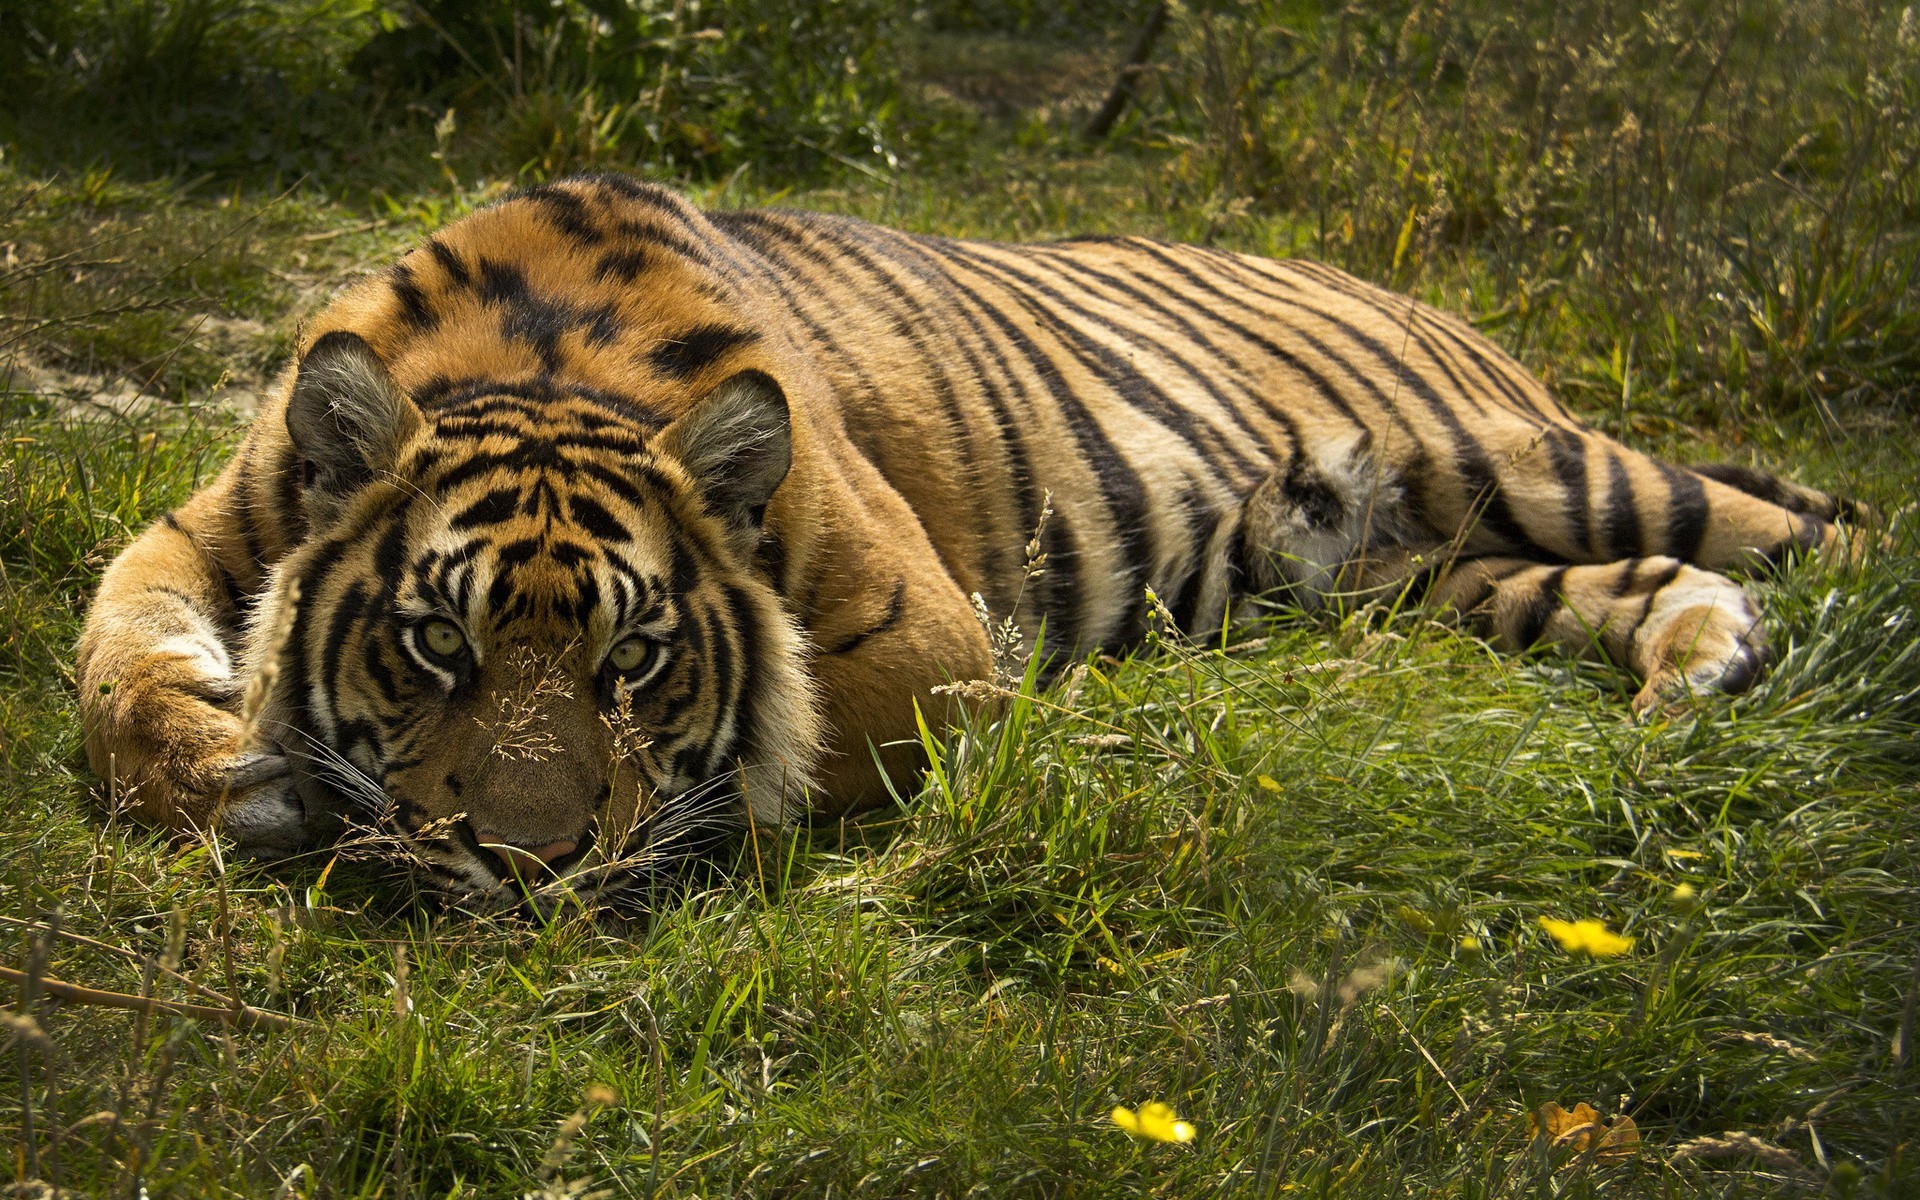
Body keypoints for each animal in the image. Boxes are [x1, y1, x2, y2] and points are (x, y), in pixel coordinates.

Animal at [75, 172, 1861, 907]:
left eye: (634, 660)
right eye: (435, 642)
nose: (531, 865)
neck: (536, 361)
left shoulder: (923, 645)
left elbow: (778, 743)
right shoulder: (196, 524)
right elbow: (113, 658)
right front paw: (231, 770)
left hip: (1533, 459)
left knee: (1818, 523)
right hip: (1427, 576)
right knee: (1640, 583)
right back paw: (1691, 680)